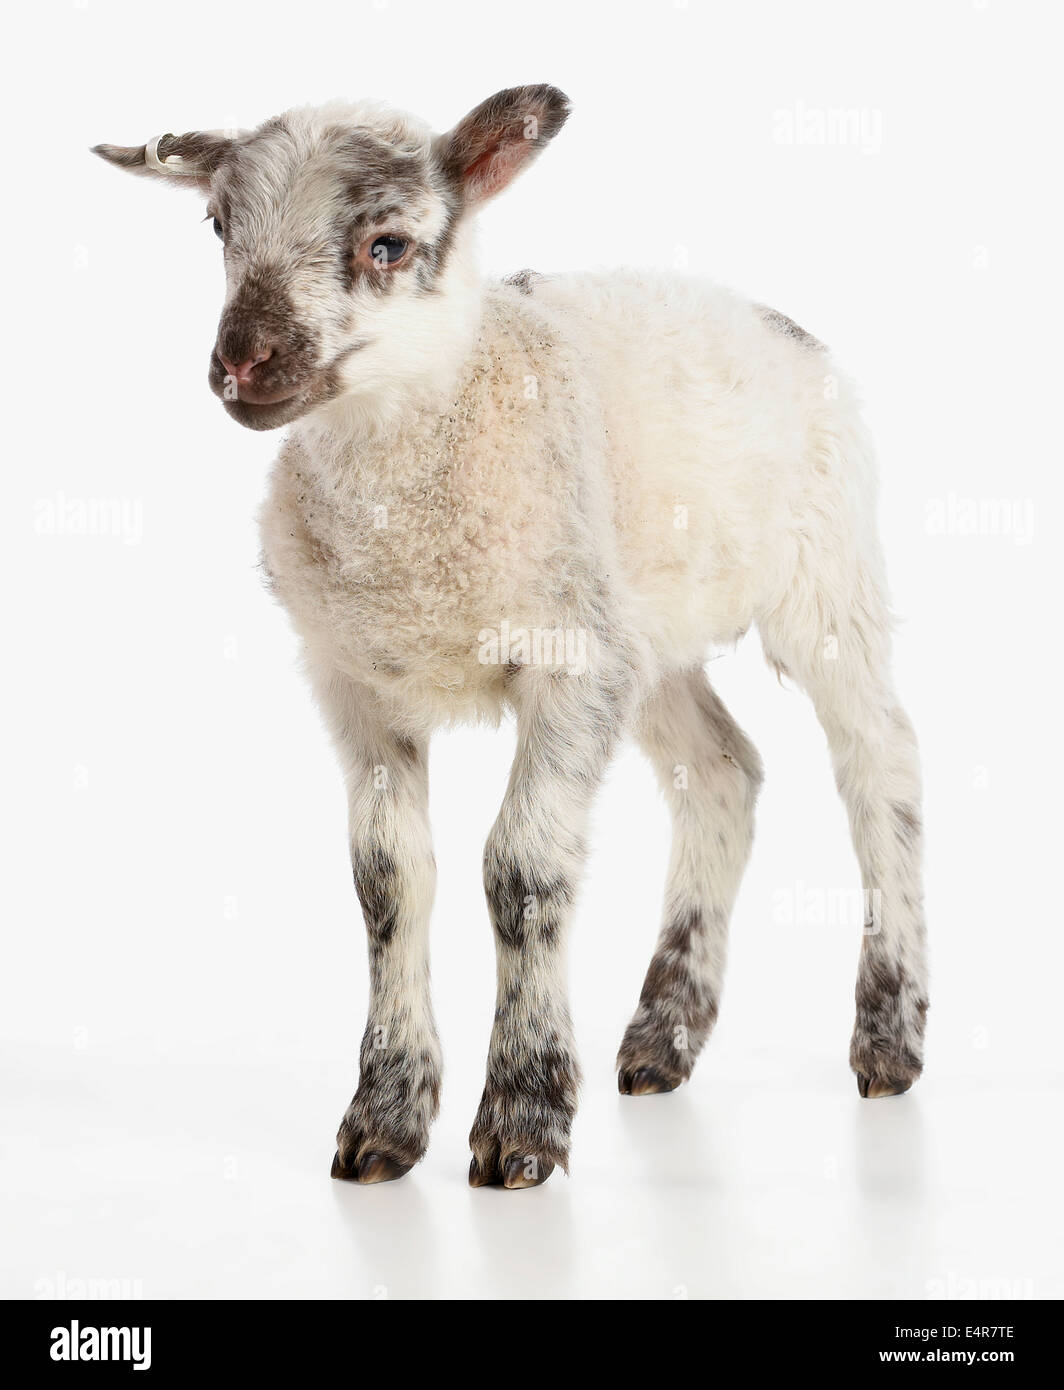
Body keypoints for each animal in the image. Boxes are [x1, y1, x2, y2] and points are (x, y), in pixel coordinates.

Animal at [93, 86, 927, 1189]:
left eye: (389, 244)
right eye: (221, 229)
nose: (243, 360)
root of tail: (774, 321)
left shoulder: (564, 670)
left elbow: (521, 871)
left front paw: (523, 1120)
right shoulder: (356, 681)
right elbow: (386, 879)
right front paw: (385, 1118)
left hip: (823, 578)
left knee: (880, 764)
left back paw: (889, 1035)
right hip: (642, 630)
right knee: (723, 773)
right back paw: (661, 1039)